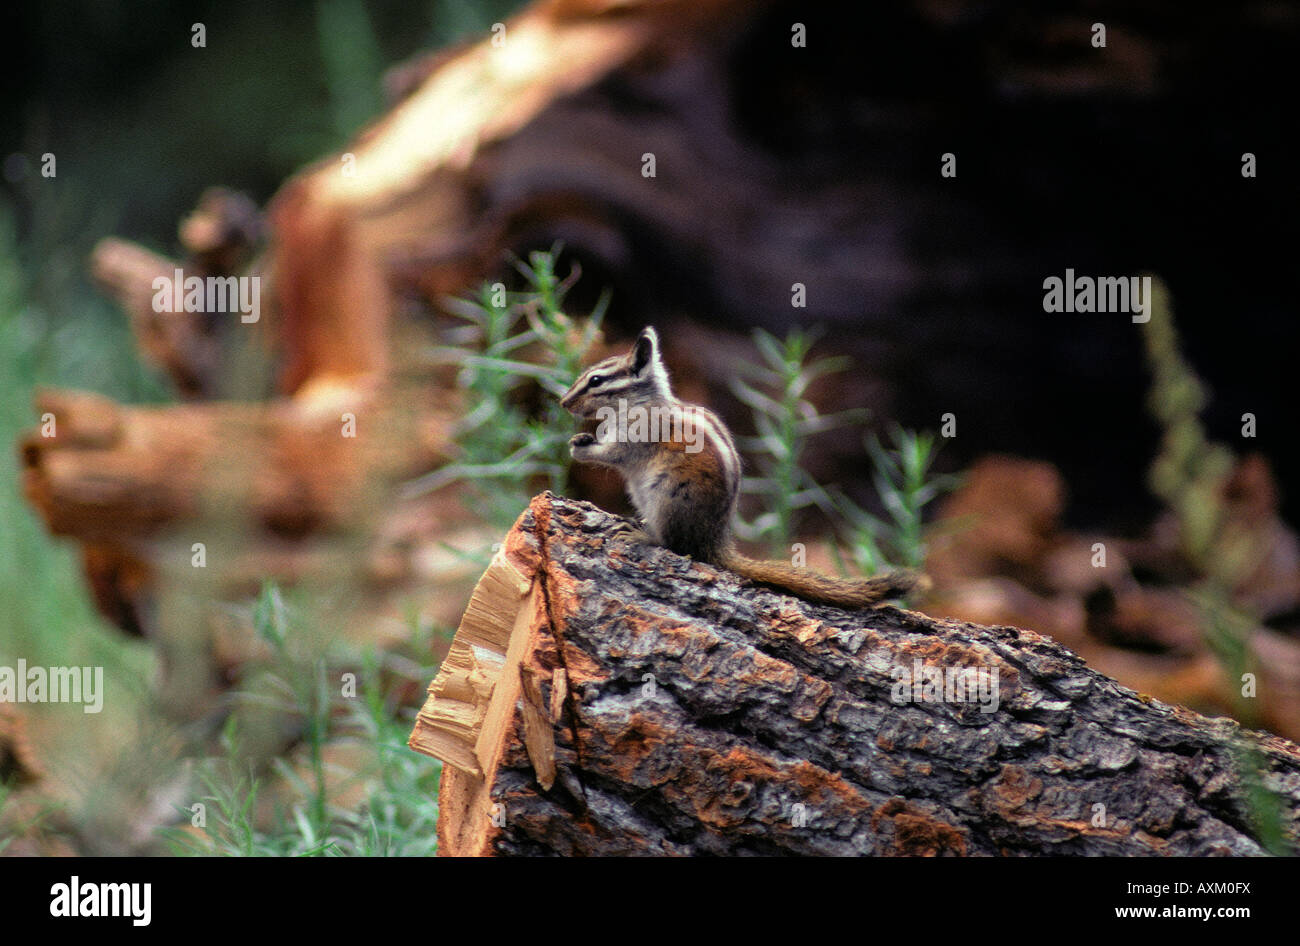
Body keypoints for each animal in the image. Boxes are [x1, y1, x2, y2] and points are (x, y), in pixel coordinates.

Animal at [560, 326, 924, 608]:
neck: (639, 402)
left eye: (596, 380)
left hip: (668, 497)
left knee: (676, 545)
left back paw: (641, 535)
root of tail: (715, 541)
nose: (563, 403)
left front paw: (581, 448)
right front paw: (579, 437)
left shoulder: (638, 436)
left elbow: (615, 454)